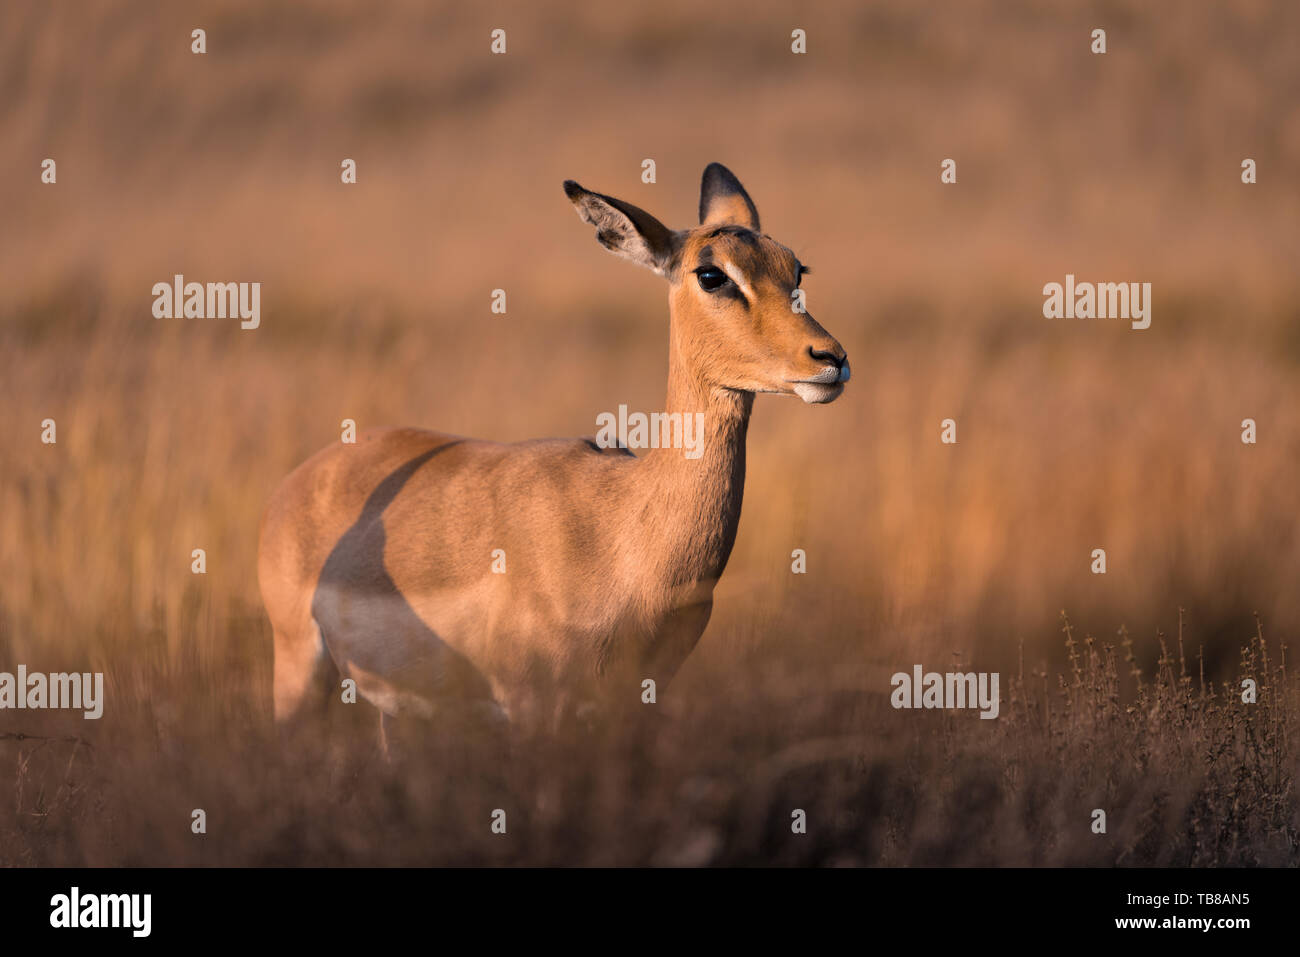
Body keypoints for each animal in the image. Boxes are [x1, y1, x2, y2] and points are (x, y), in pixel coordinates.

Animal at [257, 163, 849, 743]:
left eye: (797, 270)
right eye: (712, 274)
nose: (830, 359)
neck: (622, 527)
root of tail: (307, 474)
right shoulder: (534, 708)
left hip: (401, 713)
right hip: (300, 673)